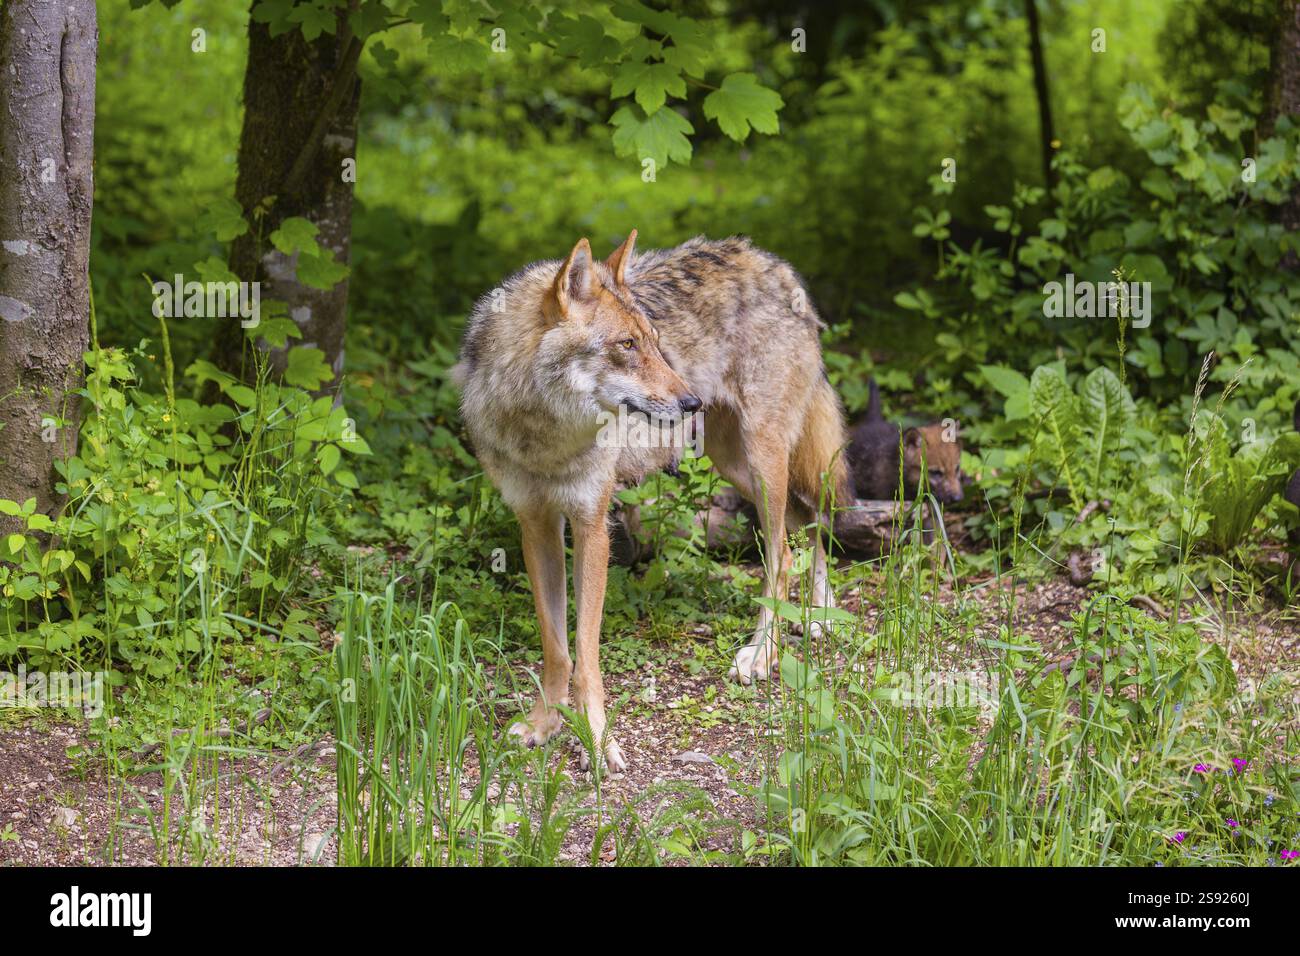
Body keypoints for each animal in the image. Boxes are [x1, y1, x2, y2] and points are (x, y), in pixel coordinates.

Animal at [455, 231, 850, 770]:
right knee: (807, 521)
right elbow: (556, 648)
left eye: (656, 342)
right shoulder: (536, 524)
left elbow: (586, 654)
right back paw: (820, 615)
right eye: (628, 345)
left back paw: (760, 653)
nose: (690, 403)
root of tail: (773, 263)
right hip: (739, 466)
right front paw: (544, 724)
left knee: (783, 553)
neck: (544, 433)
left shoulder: (592, 524)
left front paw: (597, 742)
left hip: (761, 459)